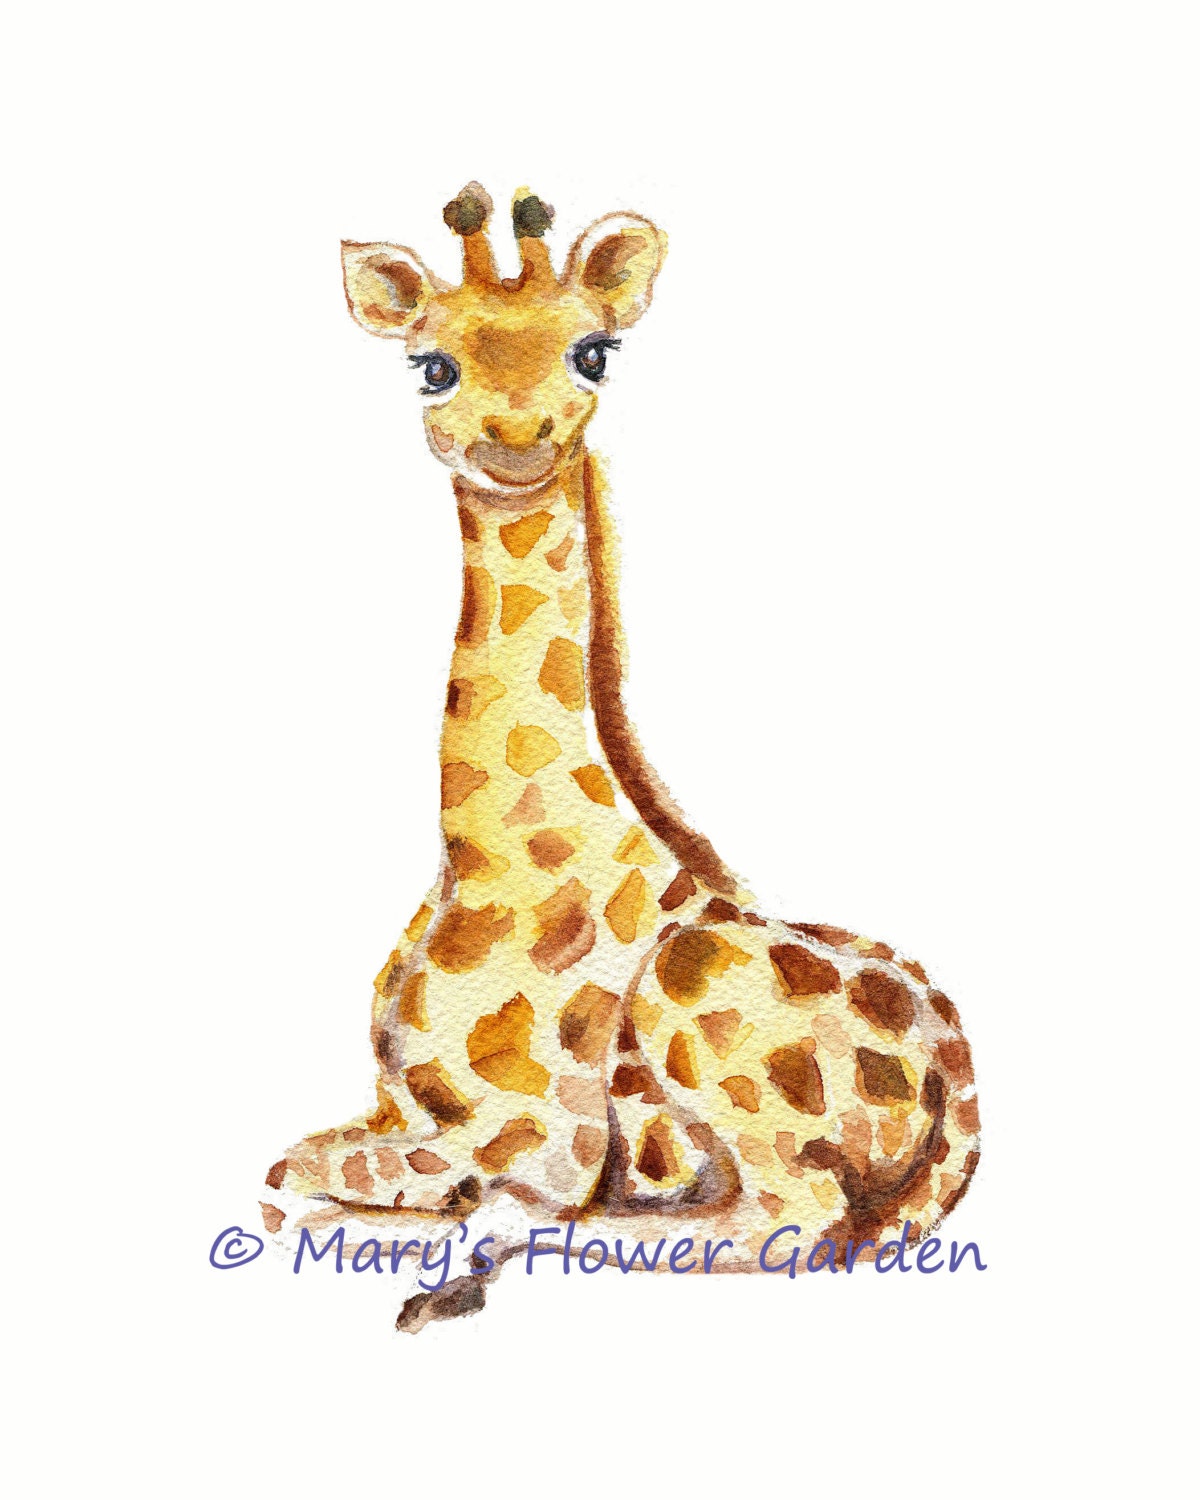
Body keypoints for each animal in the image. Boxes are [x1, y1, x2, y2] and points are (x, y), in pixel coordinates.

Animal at [264, 185, 980, 1311]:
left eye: (592, 352)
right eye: (433, 365)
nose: (518, 438)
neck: (483, 859)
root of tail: (962, 1096)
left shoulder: (530, 1134)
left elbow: (301, 1178)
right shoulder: (398, 1109)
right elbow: (291, 1172)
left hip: (704, 1005)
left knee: (782, 1223)